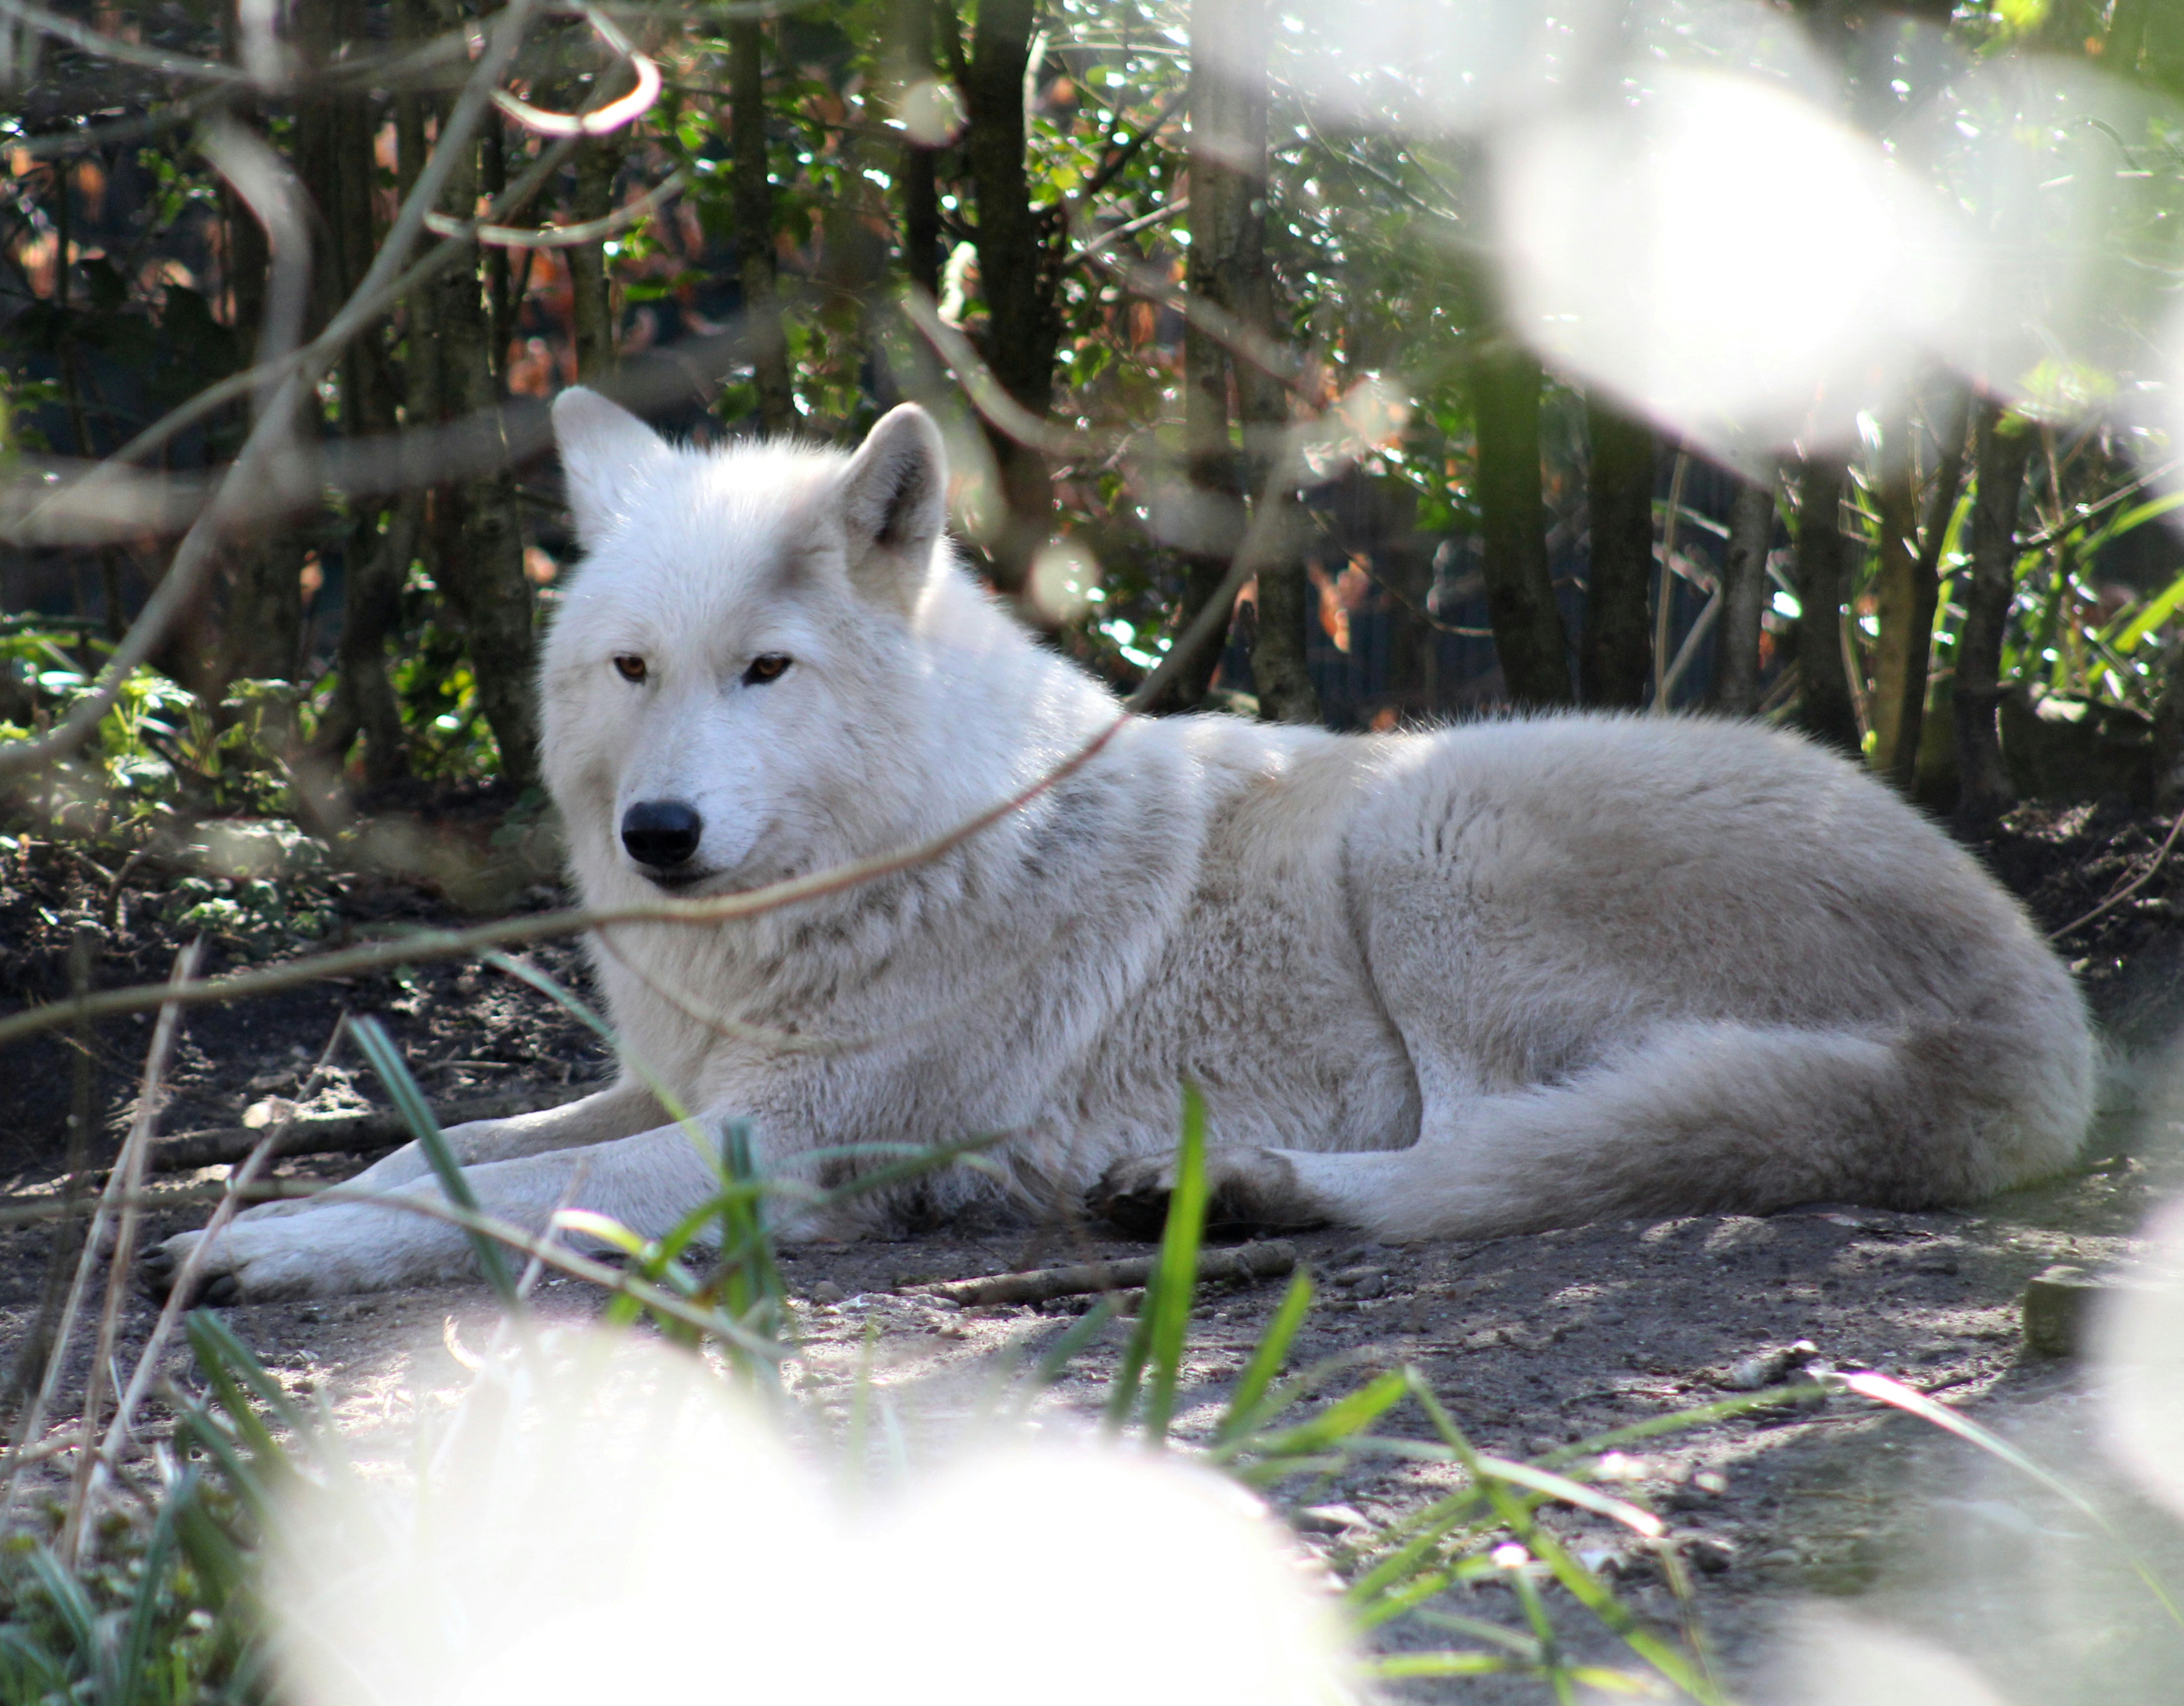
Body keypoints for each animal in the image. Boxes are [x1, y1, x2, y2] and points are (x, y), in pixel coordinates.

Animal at [146, 392, 2094, 1302]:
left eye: (765, 671)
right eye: (631, 669)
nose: (660, 832)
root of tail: (2036, 1015)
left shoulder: (783, 1141)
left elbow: (488, 1191)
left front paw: (273, 1250)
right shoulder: (678, 1085)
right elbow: (461, 1143)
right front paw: (269, 1202)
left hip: (1427, 827)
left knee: (1500, 1159)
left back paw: (1236, 1192)